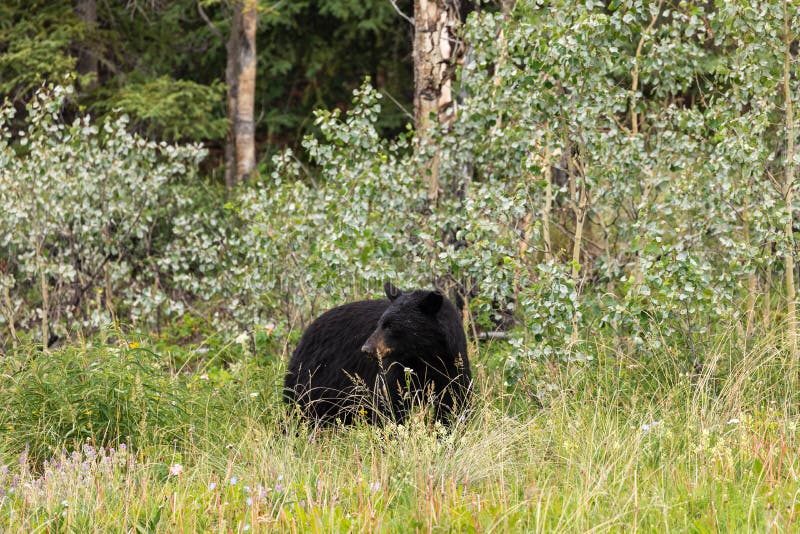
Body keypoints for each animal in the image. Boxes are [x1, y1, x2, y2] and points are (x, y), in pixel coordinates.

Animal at [283, 282, 472, 427]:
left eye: (391, 326)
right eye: (380, 323)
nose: (366, 349)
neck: (423, 356)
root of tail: (306, 332)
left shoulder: (451, 363)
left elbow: (453, 401)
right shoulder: (395, 367)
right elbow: (389, 400)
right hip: (316, 376)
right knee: (302, 407)